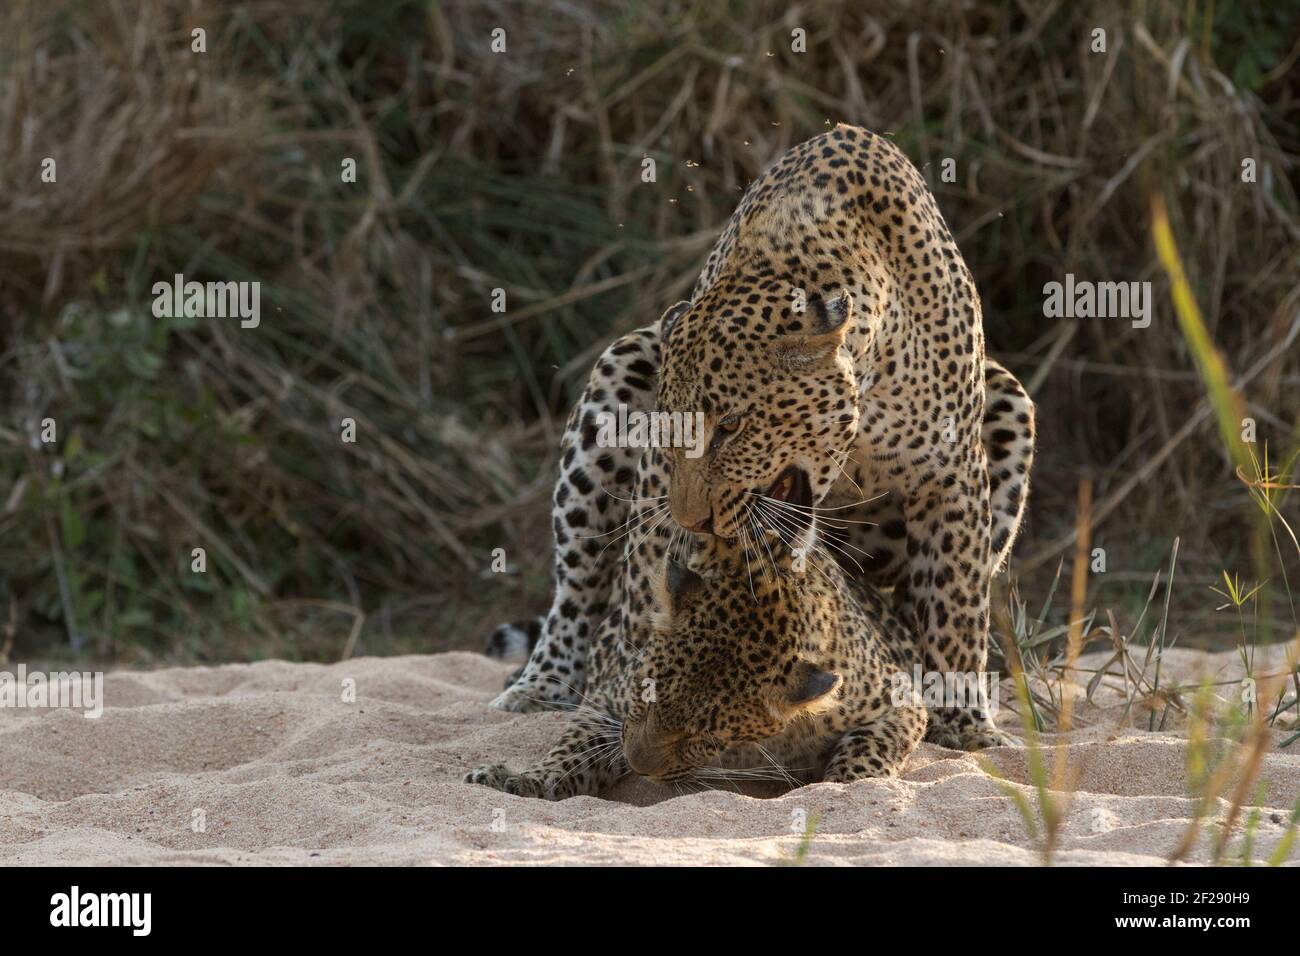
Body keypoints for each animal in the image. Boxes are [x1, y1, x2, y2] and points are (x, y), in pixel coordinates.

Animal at [465, 536, 928, 800]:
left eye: (706, 735)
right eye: (643, 697)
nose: (636, 765)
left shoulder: (899, 703)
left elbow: (867, 754)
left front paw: (839, 789)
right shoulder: (608, 703)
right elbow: (575, 750)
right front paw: (530, 780)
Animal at [486, 125, 1035, 750]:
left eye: (732, 426)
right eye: (673, 431)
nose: (697, 522)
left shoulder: (951, 469)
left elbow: (956, 603)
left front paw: (966, 725)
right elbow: (646, 569)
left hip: (1009, 399)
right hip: (620, 366)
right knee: (576, 591)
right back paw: (539, 685)